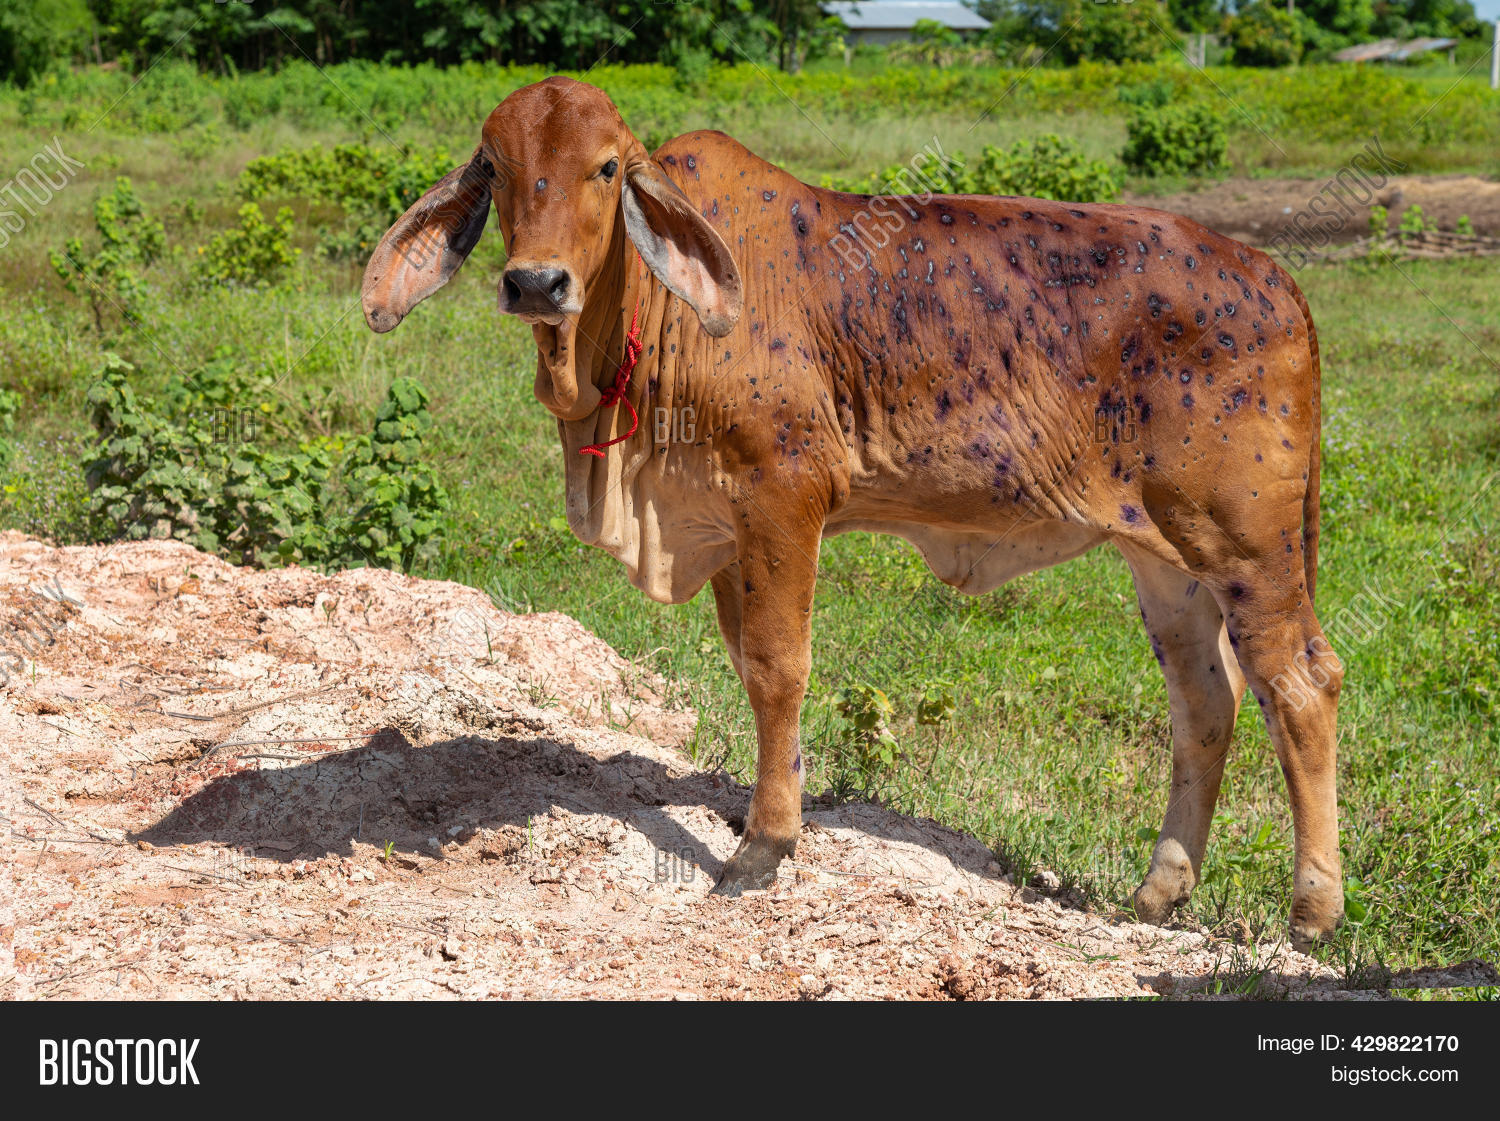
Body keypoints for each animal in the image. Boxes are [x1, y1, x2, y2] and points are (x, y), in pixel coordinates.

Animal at [361, 77, 1344, 949]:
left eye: (605, 167)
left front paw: (763, 848)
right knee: (1205, 700)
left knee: (1300, 683)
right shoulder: (727, 530)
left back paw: (1311, 910)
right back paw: (1159, 890)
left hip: (1251, 546)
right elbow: (748, 666)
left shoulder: (783, 493)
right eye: (497, 166)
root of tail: (1275, 273)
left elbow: (777, 668)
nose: (536, 284)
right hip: (1166, 559)